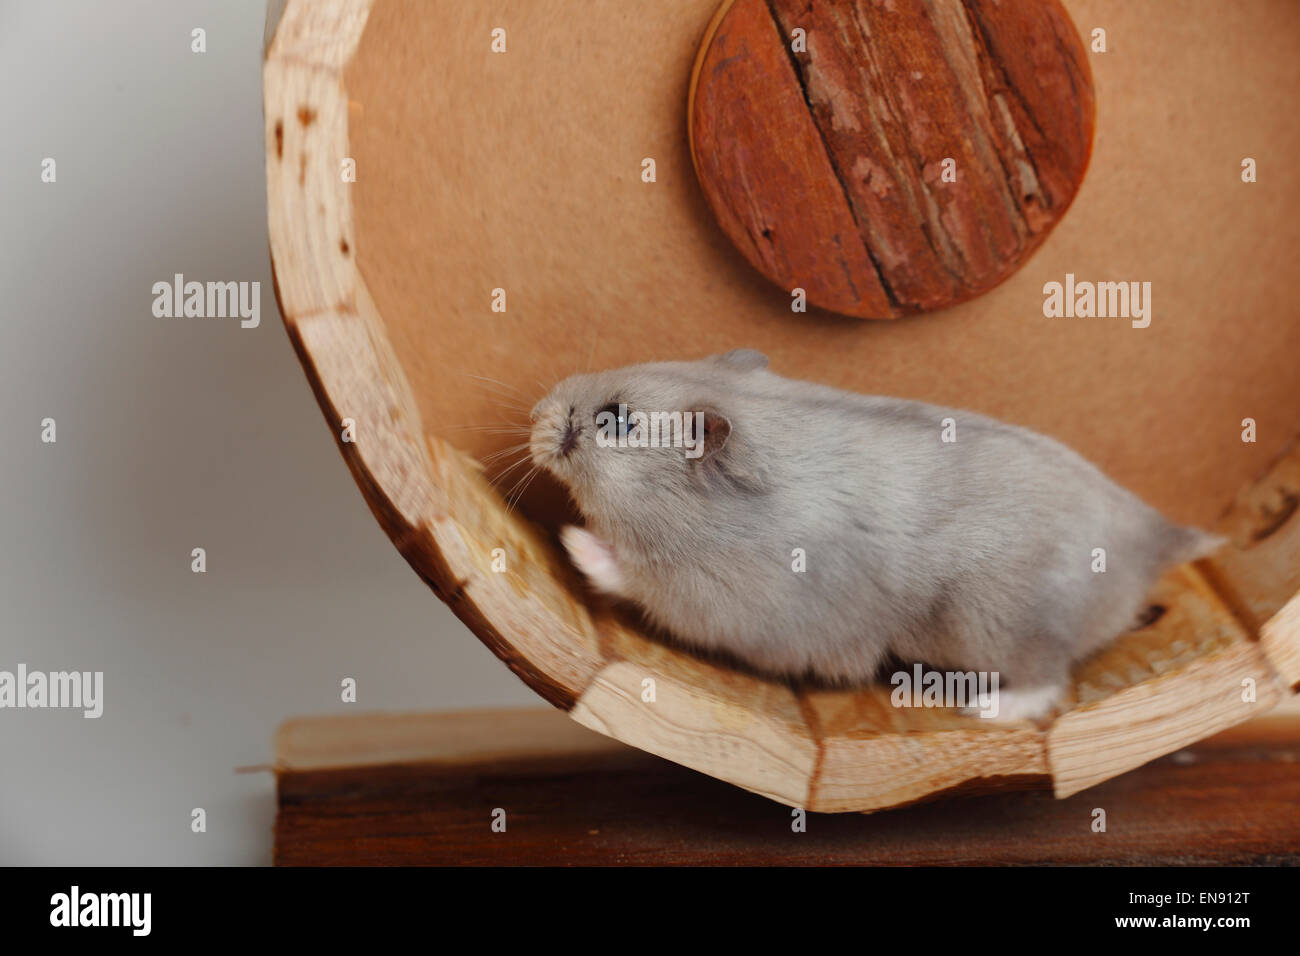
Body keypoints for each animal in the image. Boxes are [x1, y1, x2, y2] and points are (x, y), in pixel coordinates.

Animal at [528, 349, 1223, 721]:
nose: (536, 413)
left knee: (1048, 677)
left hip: (994, 621)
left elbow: (634, 577)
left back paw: (983, 710)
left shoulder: (718, 601)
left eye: (614, 419)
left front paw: (571, 539)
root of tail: (1157, 538)